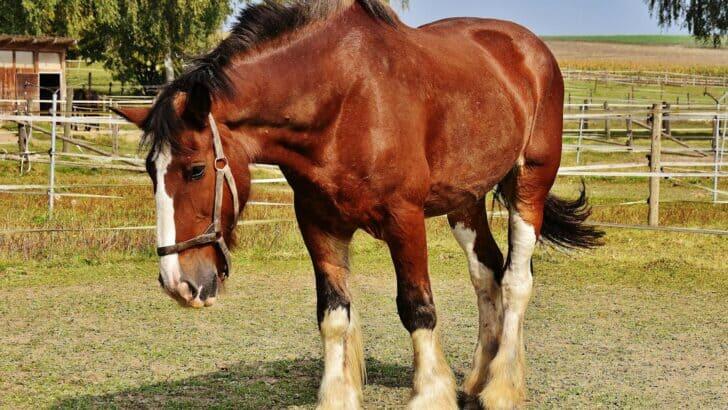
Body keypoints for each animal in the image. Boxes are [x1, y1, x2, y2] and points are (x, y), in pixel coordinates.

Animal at [114, 1, 603, 408]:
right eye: (151, 171)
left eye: (196, 169)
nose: (177, 283)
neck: (343, 102)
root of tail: (531, 50)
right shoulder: (318, 223)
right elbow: (333, 315)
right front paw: (338, 396)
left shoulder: (404, 220)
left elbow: (417, 308)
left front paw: (430, 394)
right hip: (465, 201)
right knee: (486, 273)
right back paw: (477, 380)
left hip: (529, 184)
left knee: (516, 281)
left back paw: (500, 388)